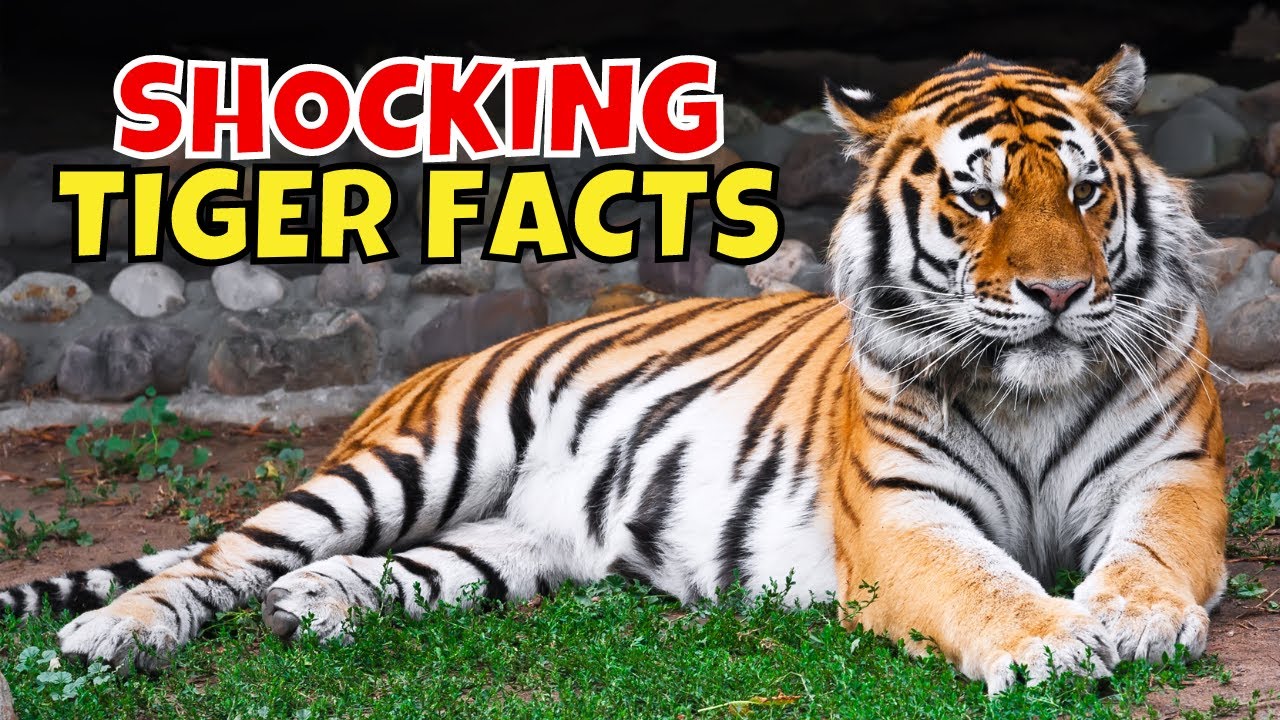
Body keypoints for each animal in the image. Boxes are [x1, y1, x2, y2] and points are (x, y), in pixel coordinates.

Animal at [2, 45, 1227, 694]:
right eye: (974, 196)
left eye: (1084, 191)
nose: (1059, 295)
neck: (1026, 396)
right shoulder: (901, 518)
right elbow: (984, 581)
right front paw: (1052, 639)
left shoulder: (1172, 476)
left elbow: (1148, 556)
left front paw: (1132, 617)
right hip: (412, 462)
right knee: (221, 556)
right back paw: (111, 636)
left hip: (512, 542)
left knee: (387, 571)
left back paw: (311, 606)